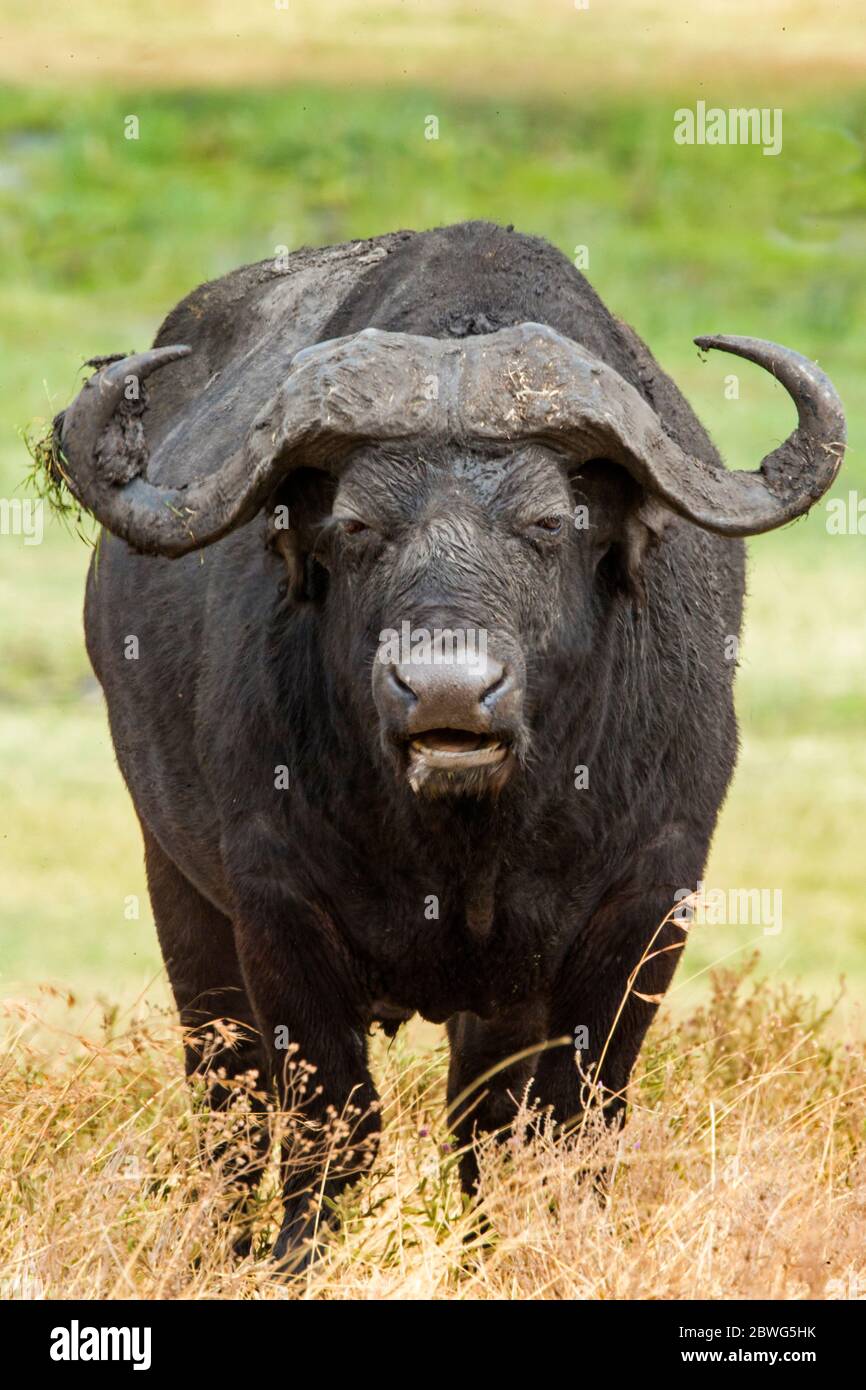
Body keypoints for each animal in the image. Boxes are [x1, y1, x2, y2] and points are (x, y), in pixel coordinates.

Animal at [53, 221, 845, 1262]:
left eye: (549, 522)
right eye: (354, 526)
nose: (447, 690)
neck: (466, 840)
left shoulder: (646, 902)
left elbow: (568, 1121)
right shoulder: (275, 905)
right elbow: (331, 1123)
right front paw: (297, 1255)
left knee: (480, 1123)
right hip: (177, 886)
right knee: (230, 1104)